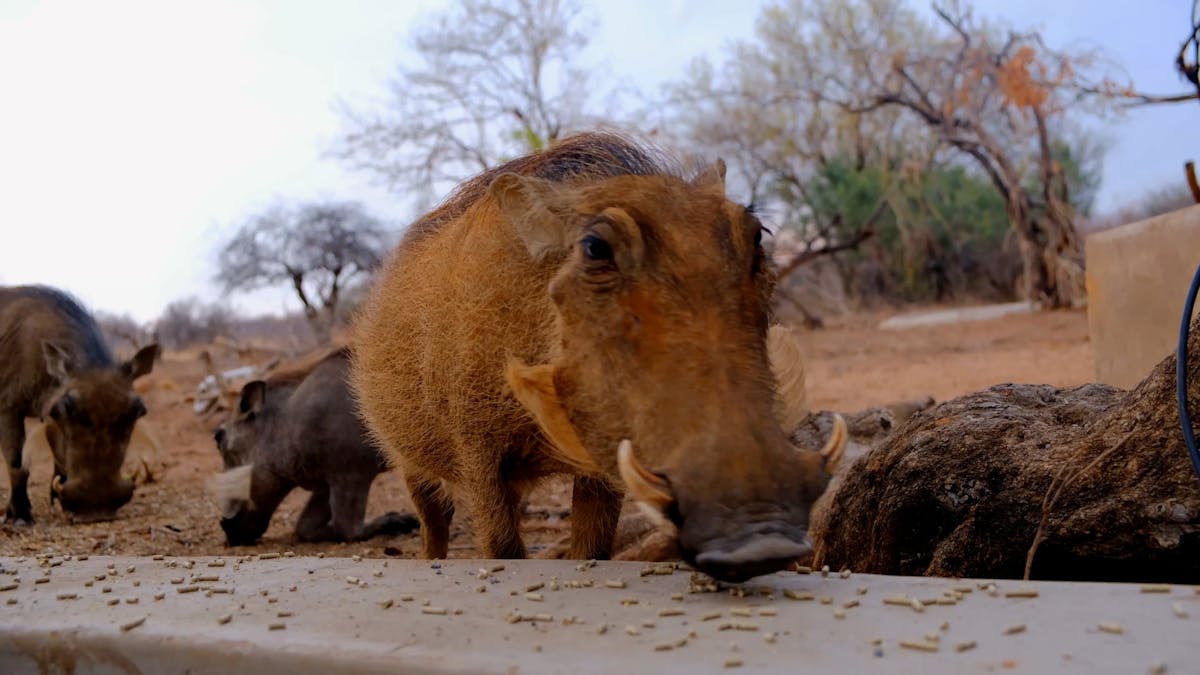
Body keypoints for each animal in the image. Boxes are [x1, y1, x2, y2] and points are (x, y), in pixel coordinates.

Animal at [0, 285, 158, 523]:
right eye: (66, 407)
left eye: (138, 410)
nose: (97, 512)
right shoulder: (8, 407)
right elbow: (18, 464)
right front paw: (20, 517)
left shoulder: (47, 414)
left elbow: (58, 461)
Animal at [210, 346, 418, 545]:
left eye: (219, 440)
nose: (230, 538)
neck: (286, 425)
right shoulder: (326, 483)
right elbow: (305, 528)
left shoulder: (352, 475)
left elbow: (348, 530)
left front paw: (404, 521)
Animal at [352, 132, 845, 582]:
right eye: (595, 247)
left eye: (758, 236)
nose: (762, 539)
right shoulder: (475, 449)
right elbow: (503, 547)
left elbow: (593, 548)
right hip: (407, 460)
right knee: (433, 522)